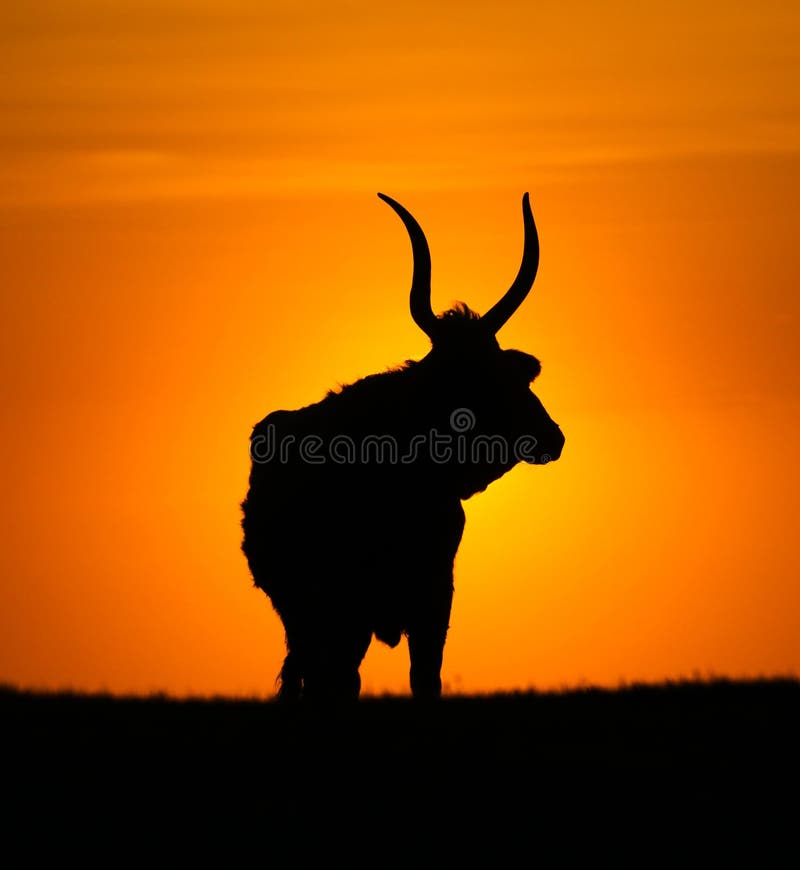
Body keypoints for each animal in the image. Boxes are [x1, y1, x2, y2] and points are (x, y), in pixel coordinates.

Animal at [241, 192, 565, 701]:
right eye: (479, 378)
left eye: (508, 370)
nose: (553, 436)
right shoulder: (346, 608)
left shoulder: (434, 598)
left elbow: (426, 679)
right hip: (309, 616)